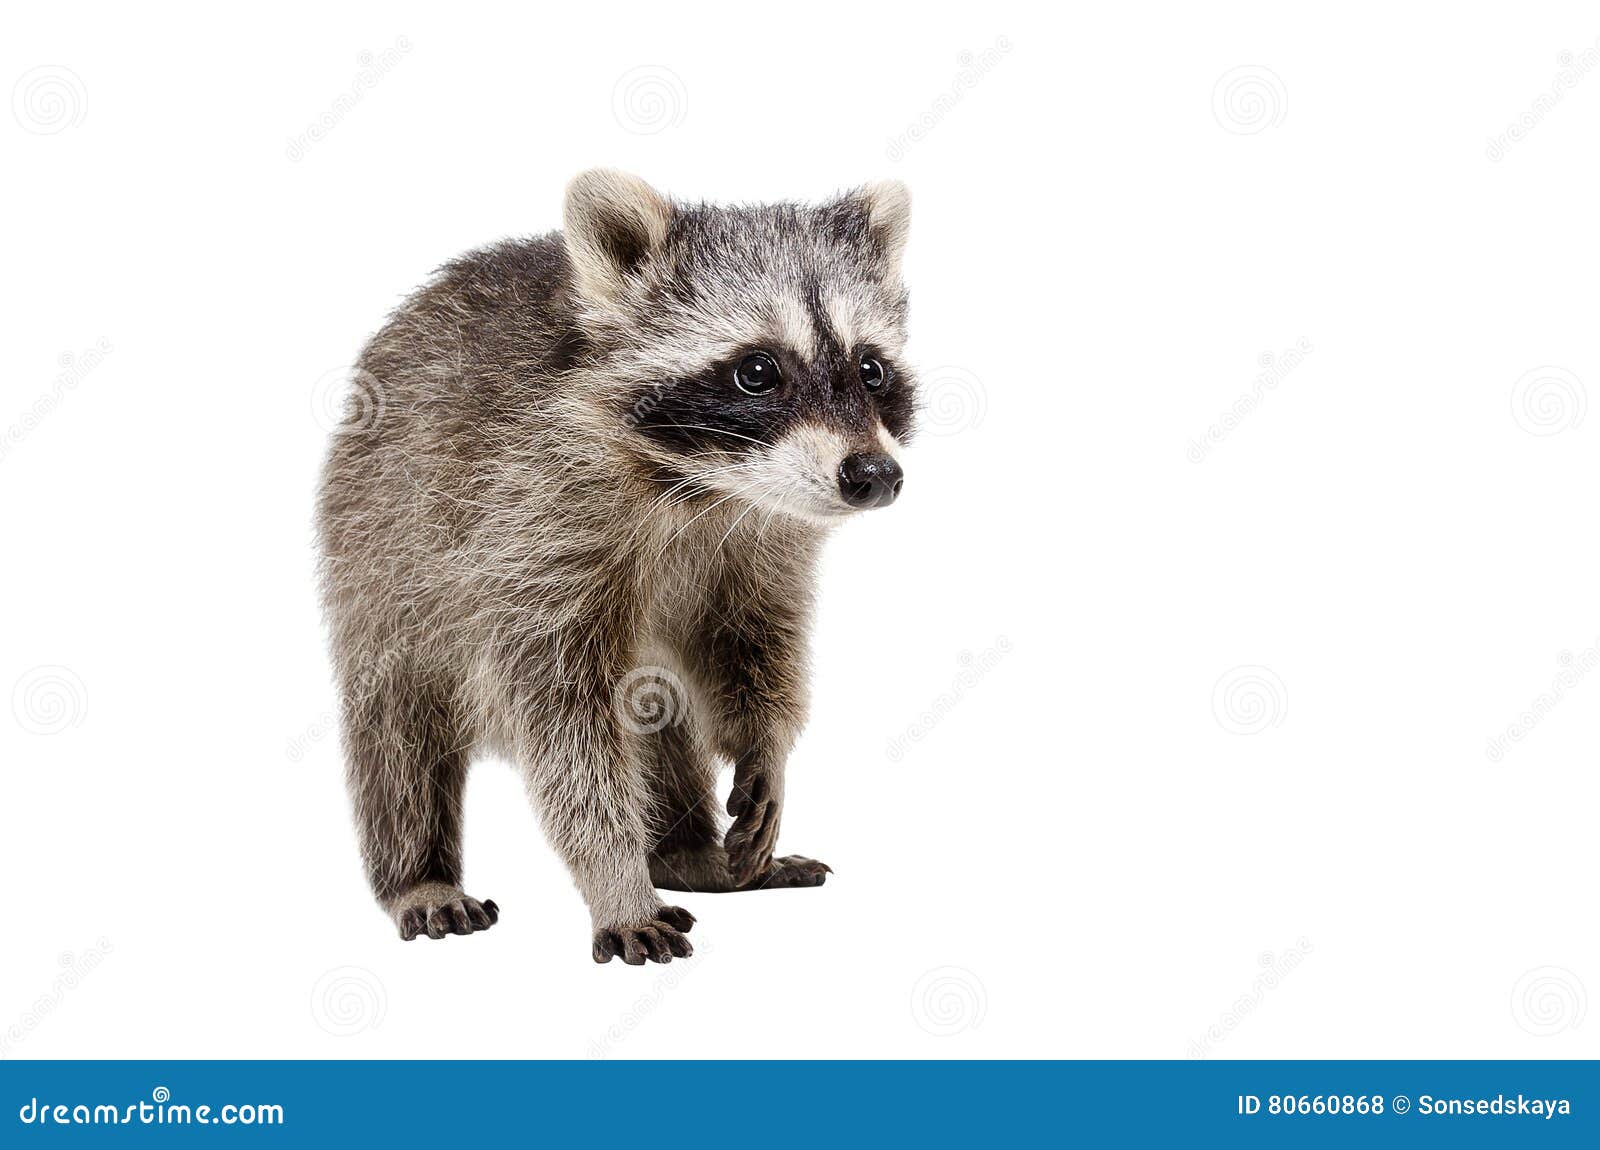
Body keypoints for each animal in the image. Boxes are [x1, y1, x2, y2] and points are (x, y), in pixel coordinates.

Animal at [315, 170, 915, 963]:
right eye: (757, 371)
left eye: (871, 369)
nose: (875, 475)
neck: (706, 486)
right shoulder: (527, 526)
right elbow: (567, 729)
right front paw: (614, 876)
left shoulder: (762, 542)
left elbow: (752, 646)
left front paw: (768, 745)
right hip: (377, 561)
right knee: (396, 736)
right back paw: (419, 874)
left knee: (659, 716)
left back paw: (686, 852)